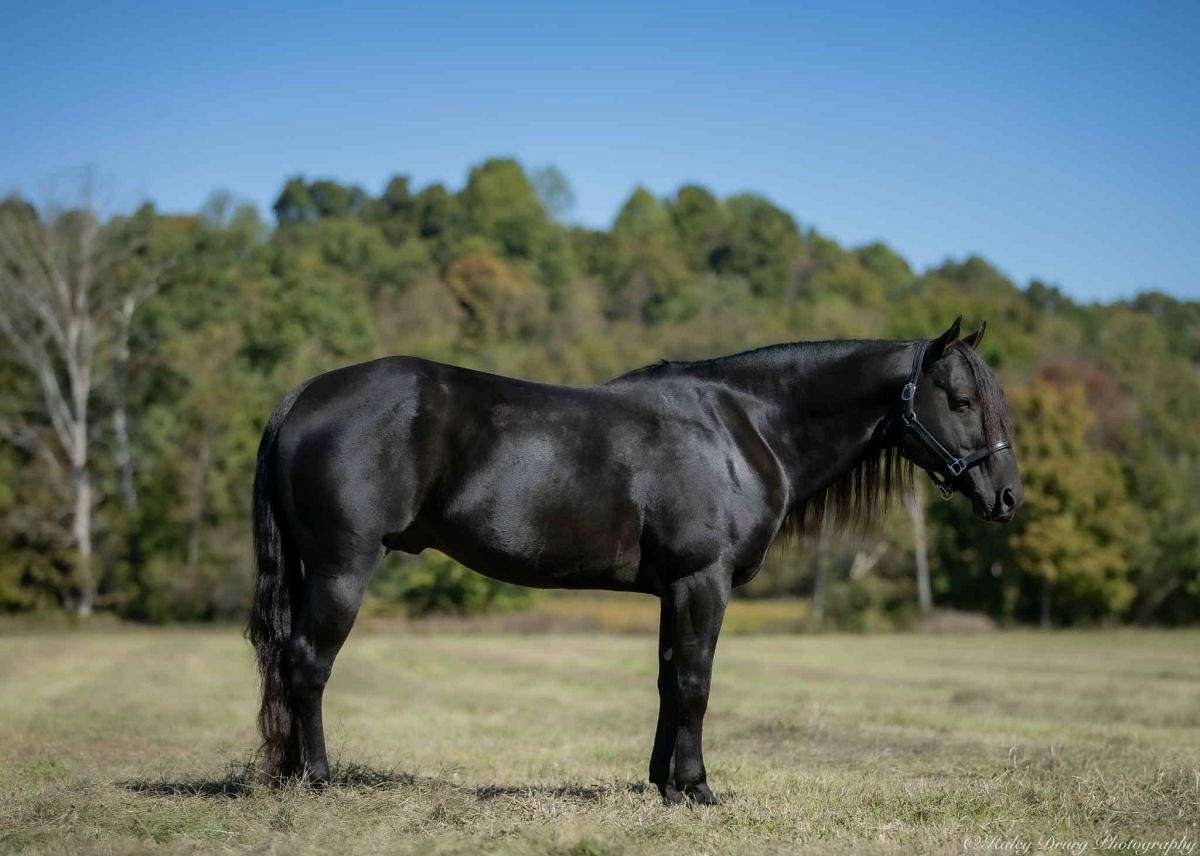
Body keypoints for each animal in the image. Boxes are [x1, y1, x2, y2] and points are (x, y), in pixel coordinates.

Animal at [247, 316, 1021, 804]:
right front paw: (699, 788)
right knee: (307, 663)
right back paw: (315, 779)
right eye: (959, 399)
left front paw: (664, 784)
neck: (743, 429)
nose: (1007, 497)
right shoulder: (703, 581)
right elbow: (696, 684)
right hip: (343, 567)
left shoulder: (674, 589)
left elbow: (667, 681)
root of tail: (302, 396)